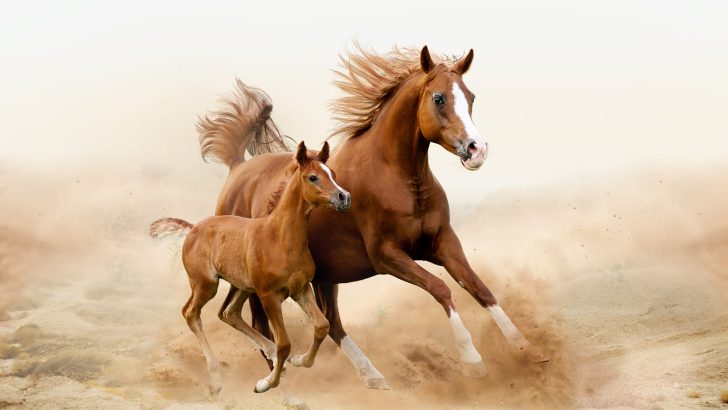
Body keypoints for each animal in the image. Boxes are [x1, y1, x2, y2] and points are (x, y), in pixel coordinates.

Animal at [150, 141, 351, 395]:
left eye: (332, 173)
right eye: (312, 177)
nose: (344, 197)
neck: (280, 238)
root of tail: (194, 228)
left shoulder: (300, 290)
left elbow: (322, 325)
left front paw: (298, 360)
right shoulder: (268, 295)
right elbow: (285, 343)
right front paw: (265, 383)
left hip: (242, 286)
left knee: (229, 313)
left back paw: (270, 355)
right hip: (206, 285)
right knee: (191, 313)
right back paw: (216, 379)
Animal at [191, 45, 546, 390]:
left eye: (471, 97)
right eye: (439, 98)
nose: (477, 150)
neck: (398, 178)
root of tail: (237, 168)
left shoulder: (443, 242)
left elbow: (478, 287)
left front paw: (526, 348)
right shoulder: (386, 255)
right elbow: (441, 288)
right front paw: (472, 360)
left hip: (324, 276)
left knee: (331, 323)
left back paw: (371, 375)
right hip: (257, 279)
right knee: (254, 321)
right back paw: (281, 380)